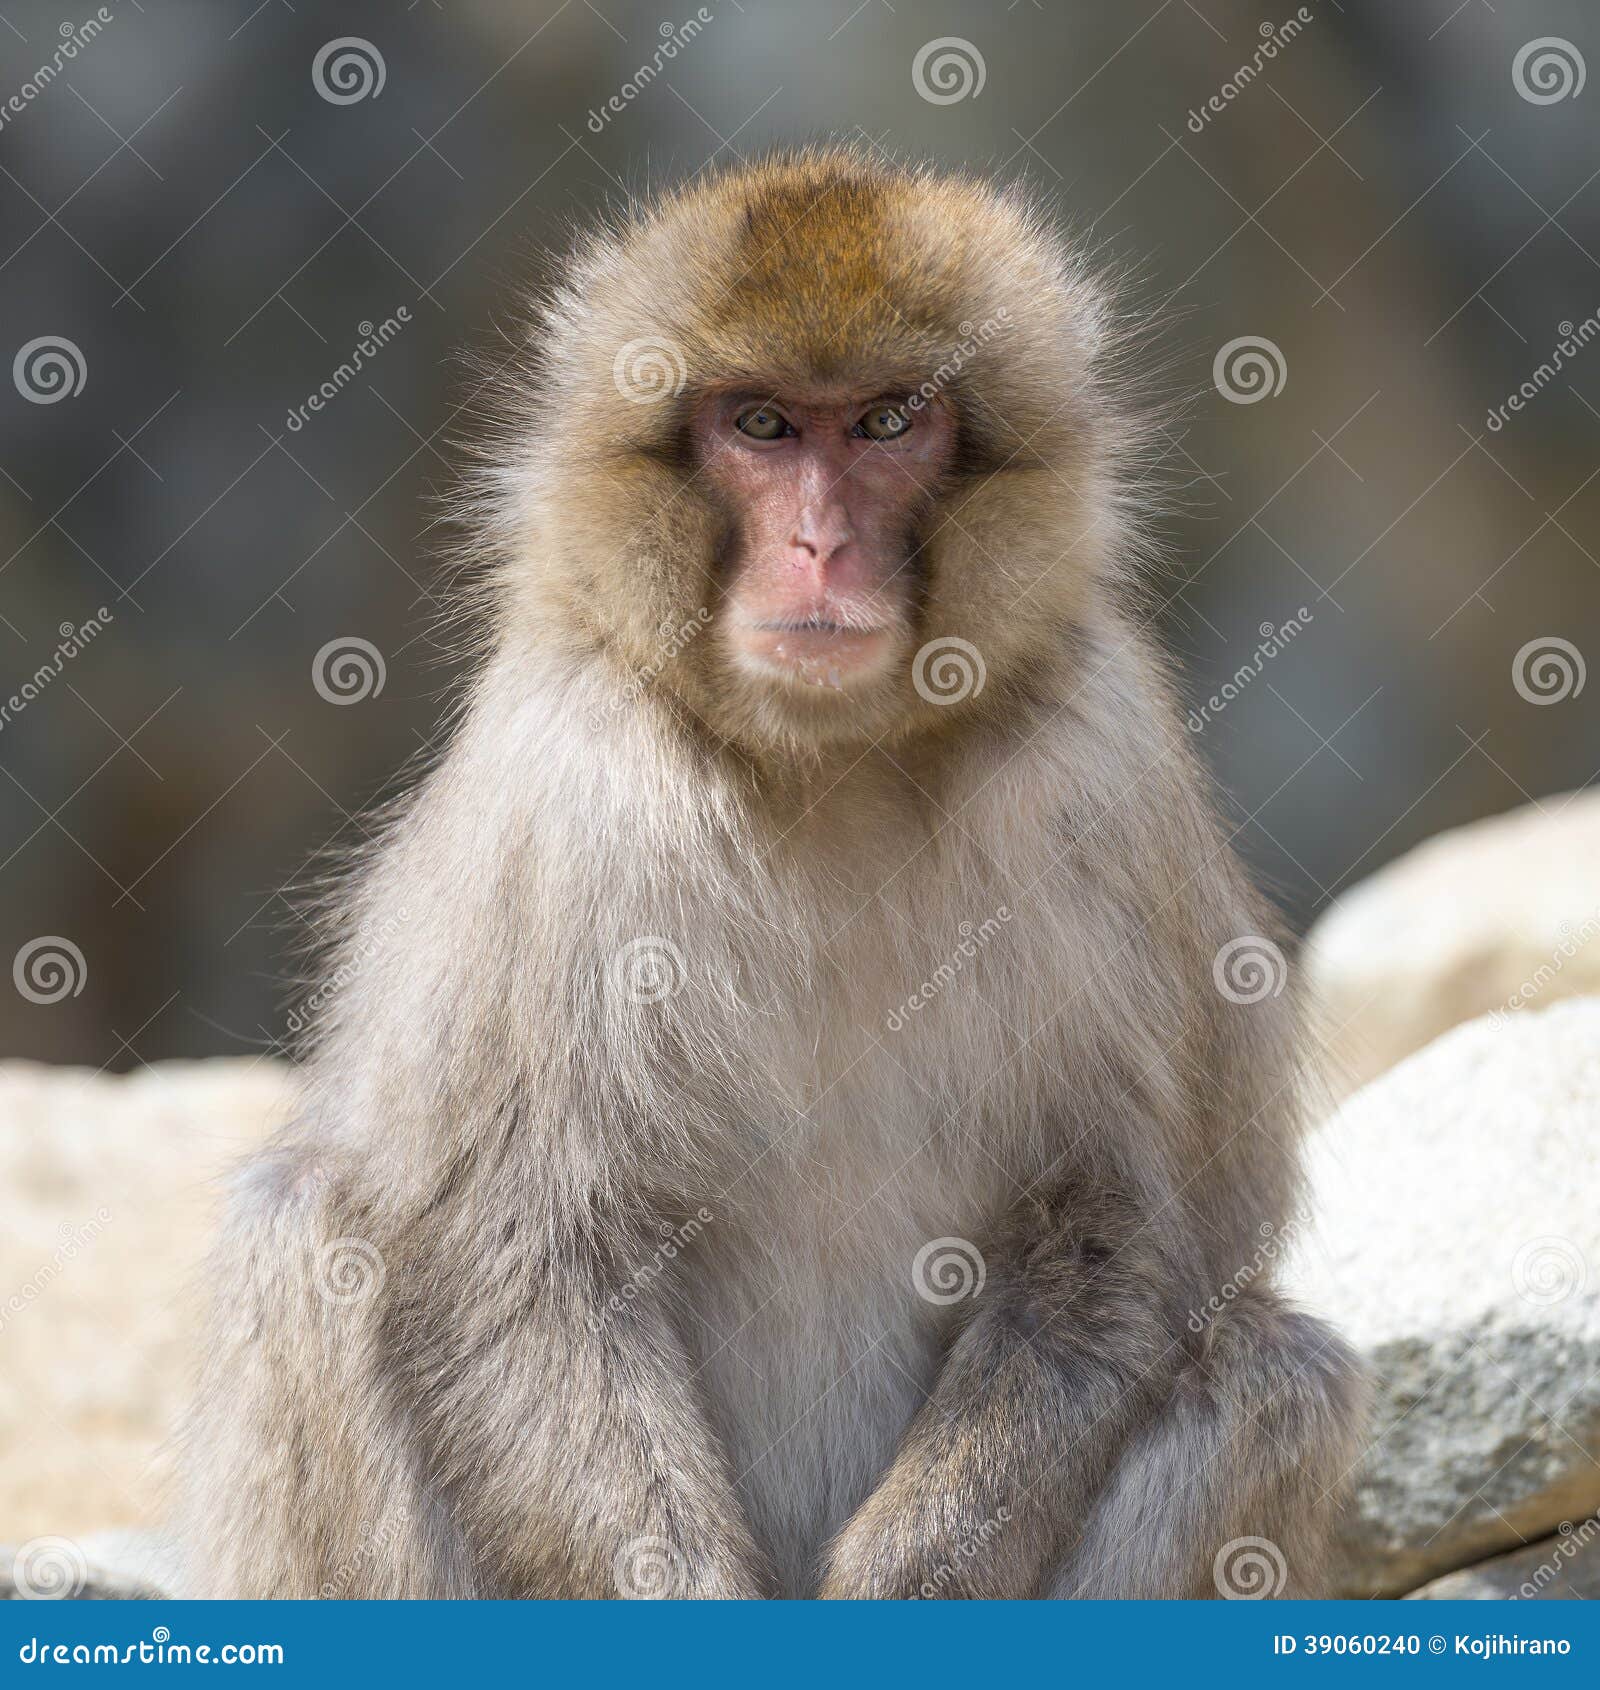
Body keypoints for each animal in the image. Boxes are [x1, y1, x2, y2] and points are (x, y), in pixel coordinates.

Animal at [176, 146, 1366, 1601]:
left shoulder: (1101, 766)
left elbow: (1123, 1232)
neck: (827, 767)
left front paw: (911, 1577)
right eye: (760, 426)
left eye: (888, 421)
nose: (818, 548)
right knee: (308, 1239)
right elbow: (518, 1251)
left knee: (1278, 1374)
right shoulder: (569, 794)